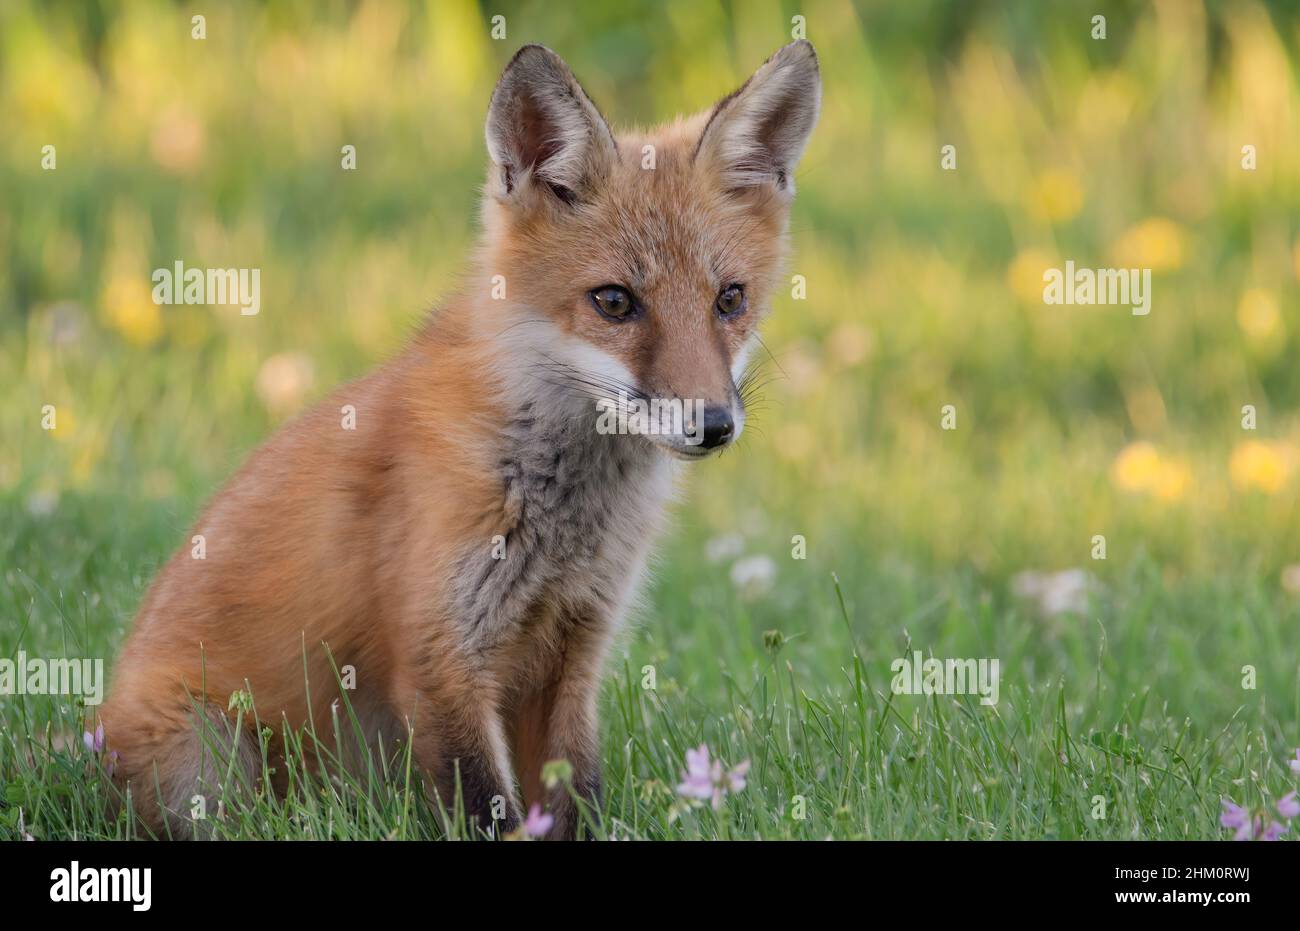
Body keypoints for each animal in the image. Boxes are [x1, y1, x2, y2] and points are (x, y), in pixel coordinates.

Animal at [98, 40, 821, 839]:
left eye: (730, 299)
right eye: (613, 301)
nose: (713, 424)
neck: (561, 512)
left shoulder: (575, 652)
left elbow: (576, 794)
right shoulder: (441, 659)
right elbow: (488, 807)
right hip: (207, 761)